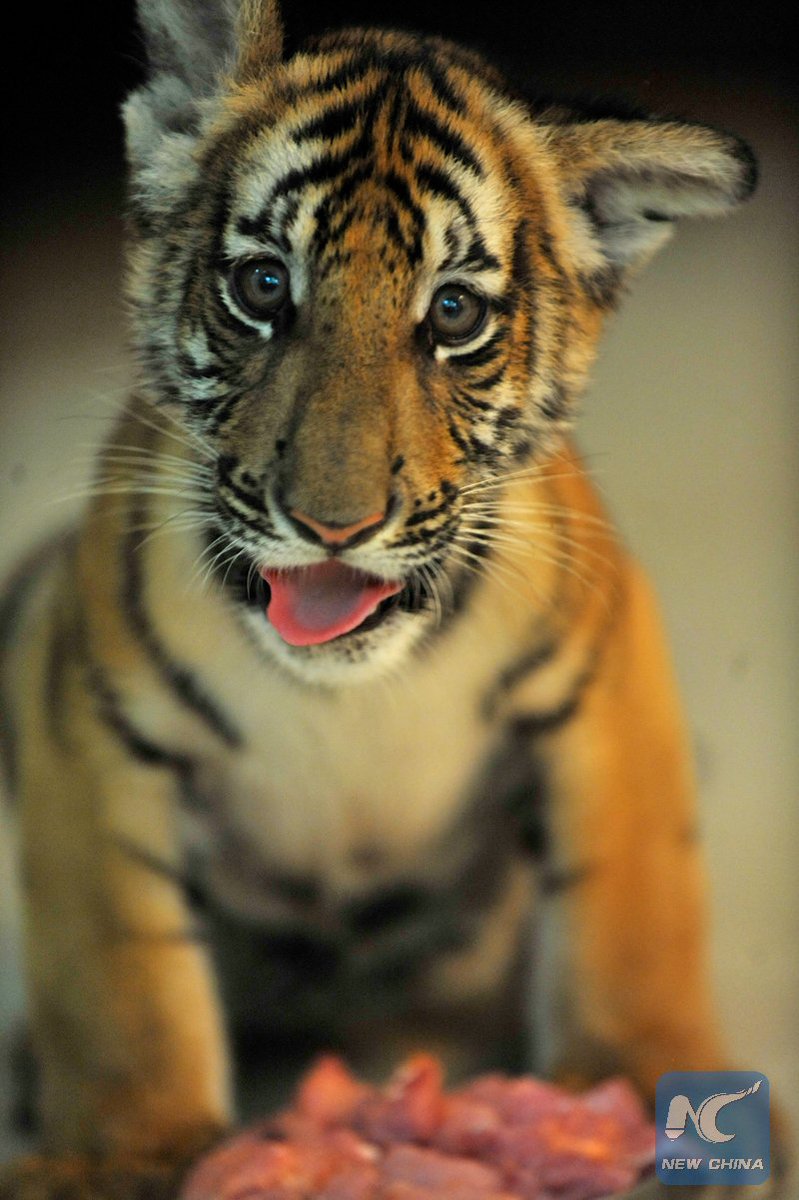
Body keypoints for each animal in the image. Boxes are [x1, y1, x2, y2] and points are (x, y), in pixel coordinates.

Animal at [0, 0, 767, 1194]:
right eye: (264, 287)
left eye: (451, 314)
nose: (332, 526)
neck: (348, 692)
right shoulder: (85, 707)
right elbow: (116, 969)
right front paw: (129, 1154)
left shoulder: (605, 672)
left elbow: (632, 906)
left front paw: (636, 1086)